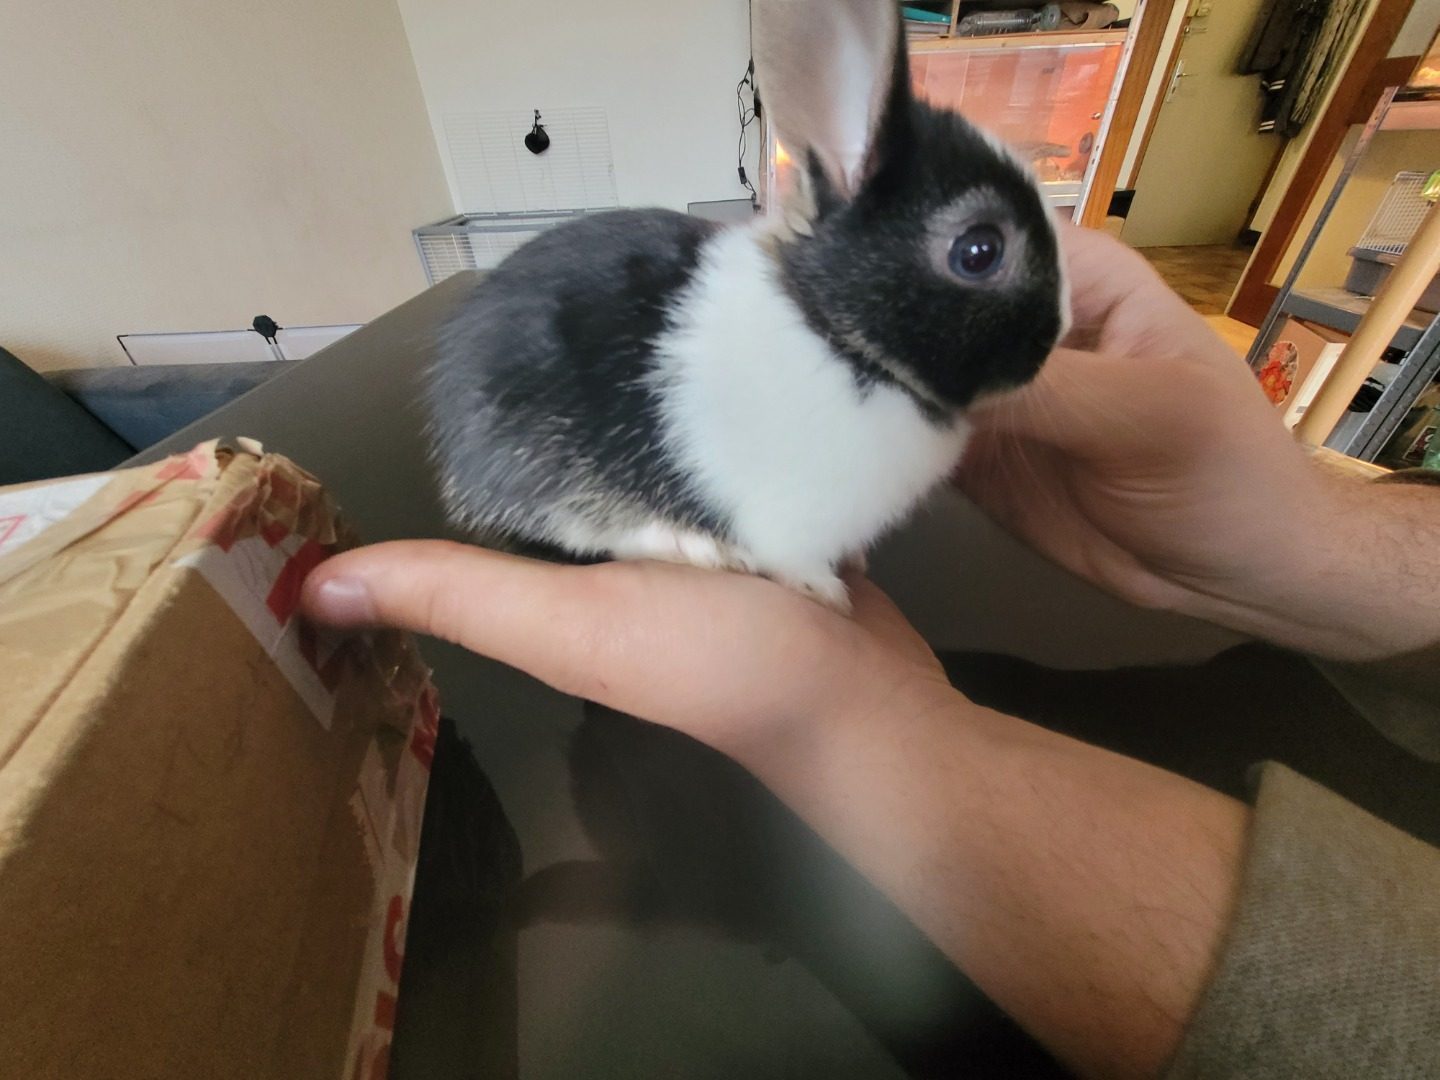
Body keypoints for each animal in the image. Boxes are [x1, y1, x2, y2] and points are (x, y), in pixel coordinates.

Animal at [426, 0, 1068, 611]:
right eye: (979, 251)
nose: (1053, 341)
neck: (830, 332)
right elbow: (792, 558)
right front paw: (826, 592)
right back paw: (692, 546)